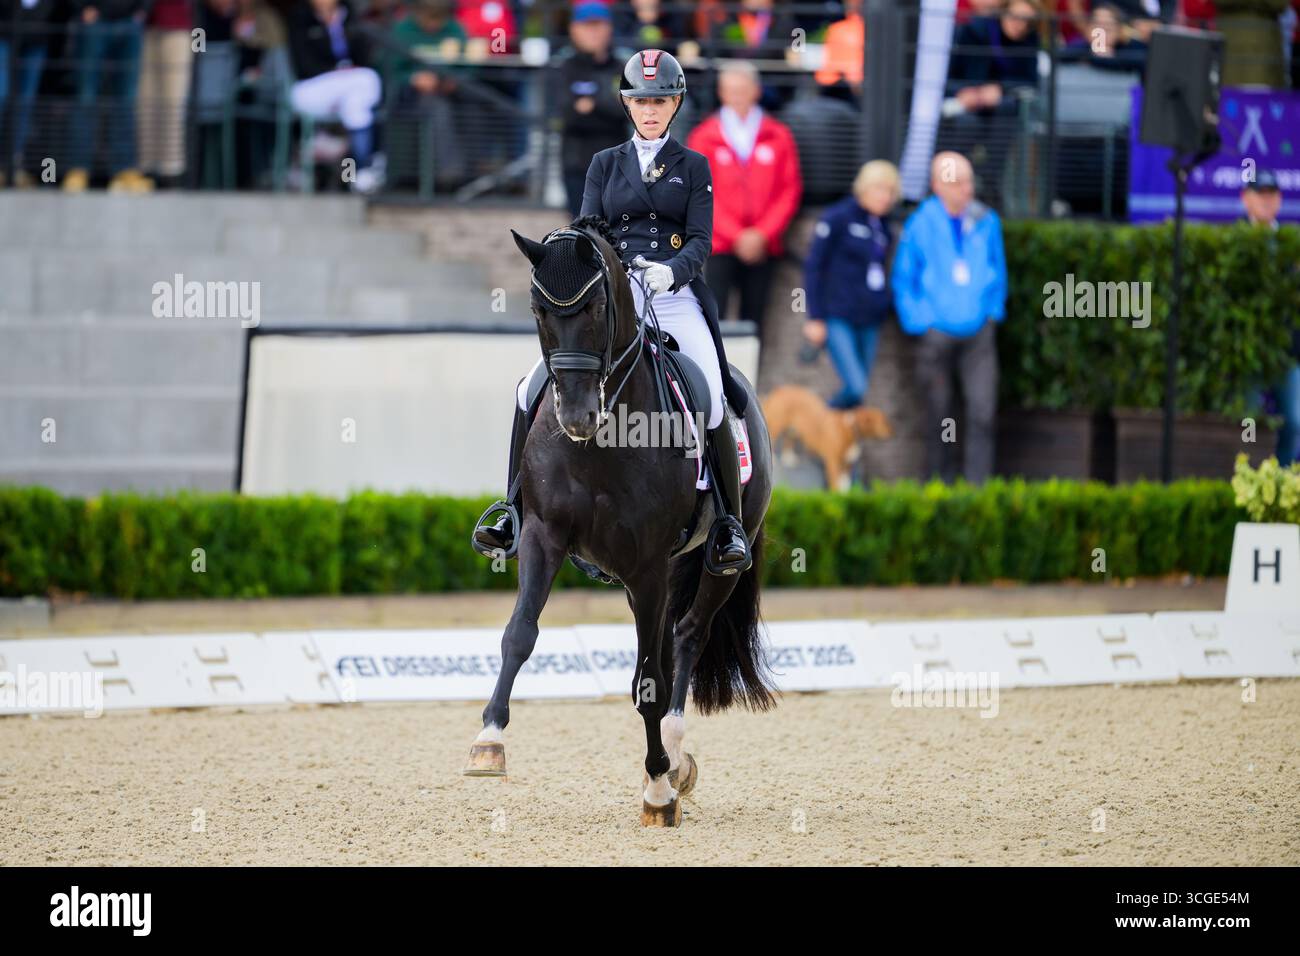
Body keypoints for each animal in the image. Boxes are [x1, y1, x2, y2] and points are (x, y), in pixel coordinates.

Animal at [462, 215, 777, 827]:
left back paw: (673, 756)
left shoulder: (649, 565)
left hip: (717, 563)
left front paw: (657, 789)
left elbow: (649, 678)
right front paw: (489, 740)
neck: (600, 444)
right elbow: (520, 633)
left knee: (686, 635)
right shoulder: (542, 536)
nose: (576, 417)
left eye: (596, 308)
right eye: (537, 309)